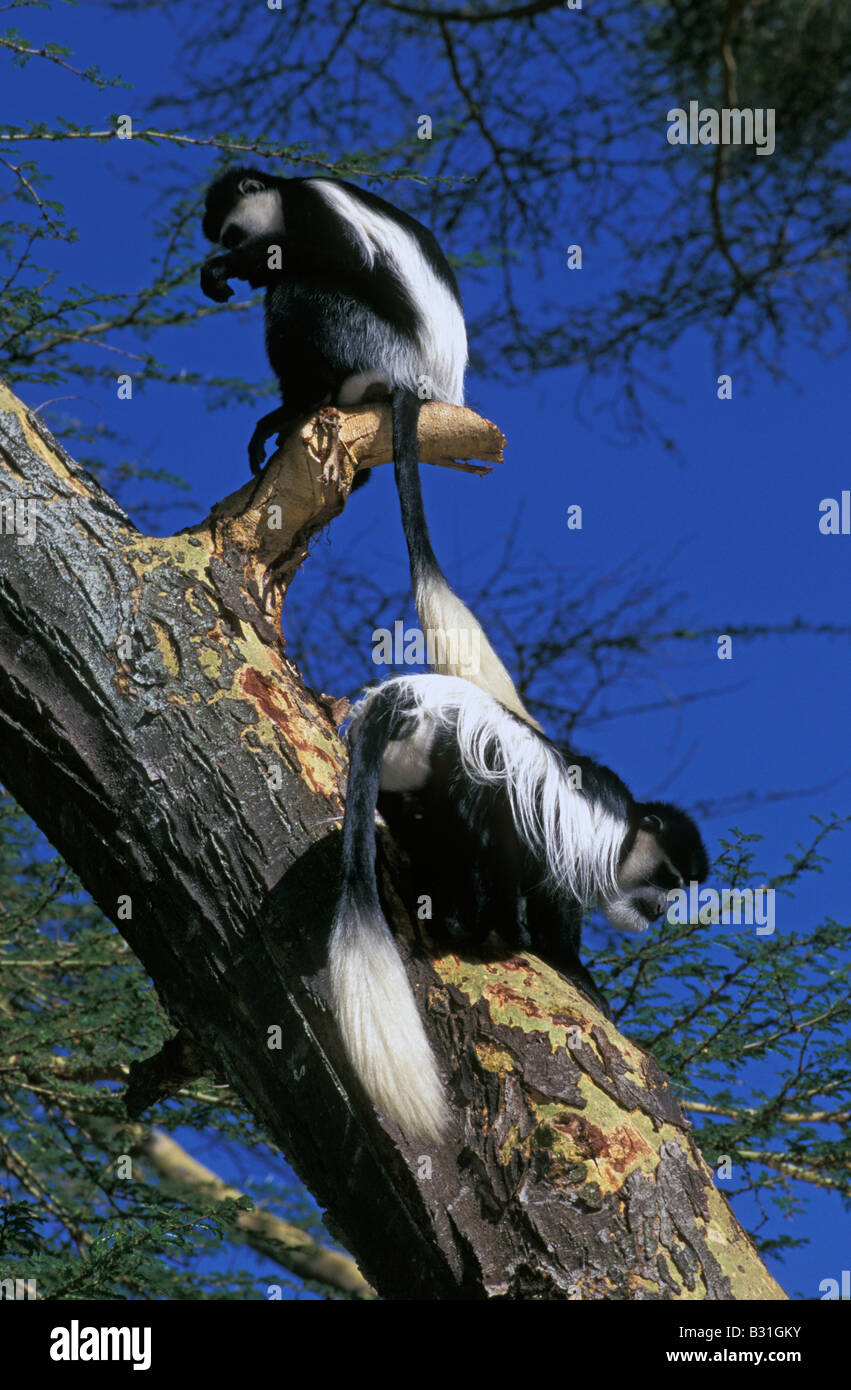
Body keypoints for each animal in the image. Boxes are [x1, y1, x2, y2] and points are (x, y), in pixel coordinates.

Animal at [200, 167, 537, 725]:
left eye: (229, 234)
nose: (230, 257)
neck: (285, 198)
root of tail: (418, 383)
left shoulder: (314, 207)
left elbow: (332, 260)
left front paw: (231, 267)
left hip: (366, 336)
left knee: (298, 292)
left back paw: (302, 405)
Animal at [328, 674, 710, 1142]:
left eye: (679, 889)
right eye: (668, 880)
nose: (660, 908)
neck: (628, 832)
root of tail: (414, 692)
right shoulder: (583, 839)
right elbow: (556, 899)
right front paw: (578, 975)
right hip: (468, 761)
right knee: (483, 833)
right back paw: (476, 926)